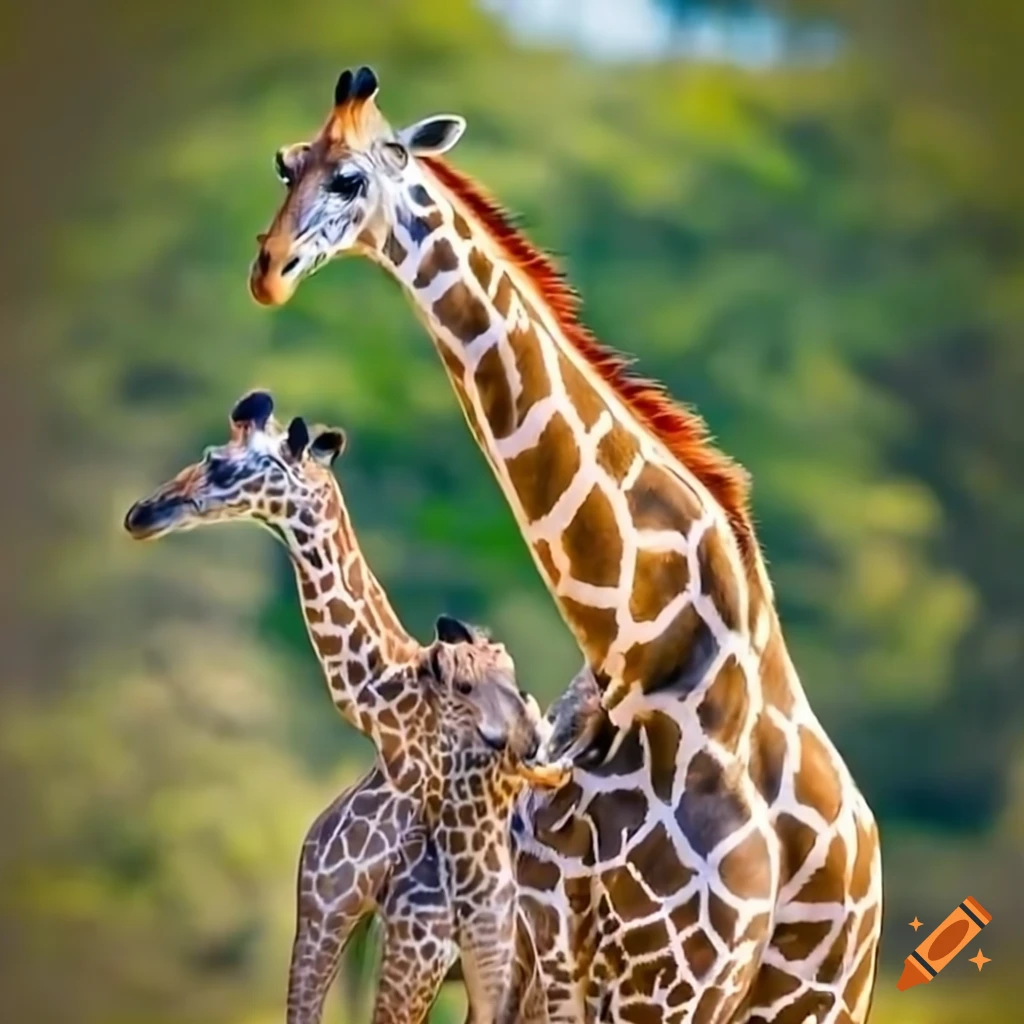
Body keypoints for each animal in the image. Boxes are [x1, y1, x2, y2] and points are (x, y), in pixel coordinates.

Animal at [123, 389, 571, 1024]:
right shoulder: (324, 917)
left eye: (223, 465)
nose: (143, 513)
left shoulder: (420, 943)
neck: (394, 731)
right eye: (211, 450)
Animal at [247, 66, 883, 1024]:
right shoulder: (543, 944)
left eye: (351, 178)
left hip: (812, 1002)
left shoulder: (669, 980)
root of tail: (870, 877)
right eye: (288, 162)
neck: (656, 664)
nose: (270, 271)